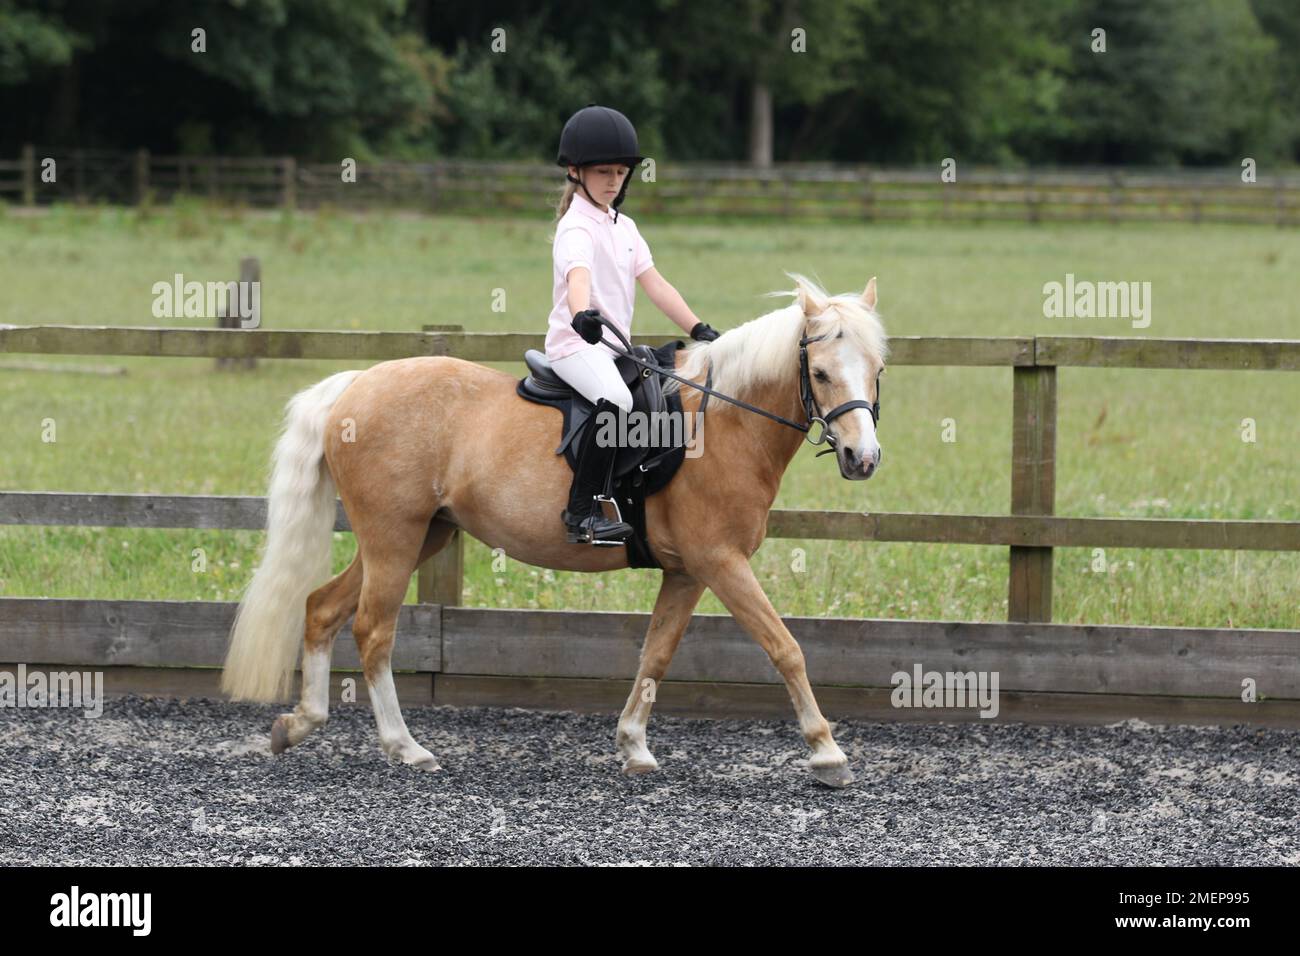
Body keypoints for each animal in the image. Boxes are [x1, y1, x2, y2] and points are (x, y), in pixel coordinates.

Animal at [220, 274, 887, 788]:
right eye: (821, 373)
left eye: (877, 369)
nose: (863, 459)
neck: (722, 422)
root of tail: (354, 385)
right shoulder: (720, 562)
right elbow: (786, 647)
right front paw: (828, 753)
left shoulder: (685, 571)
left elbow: (656, 653)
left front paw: (633, 745)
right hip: (393, 537)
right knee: (373, 630)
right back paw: (406, 747)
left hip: (417, 537)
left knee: (321, 608)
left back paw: (298, 723)